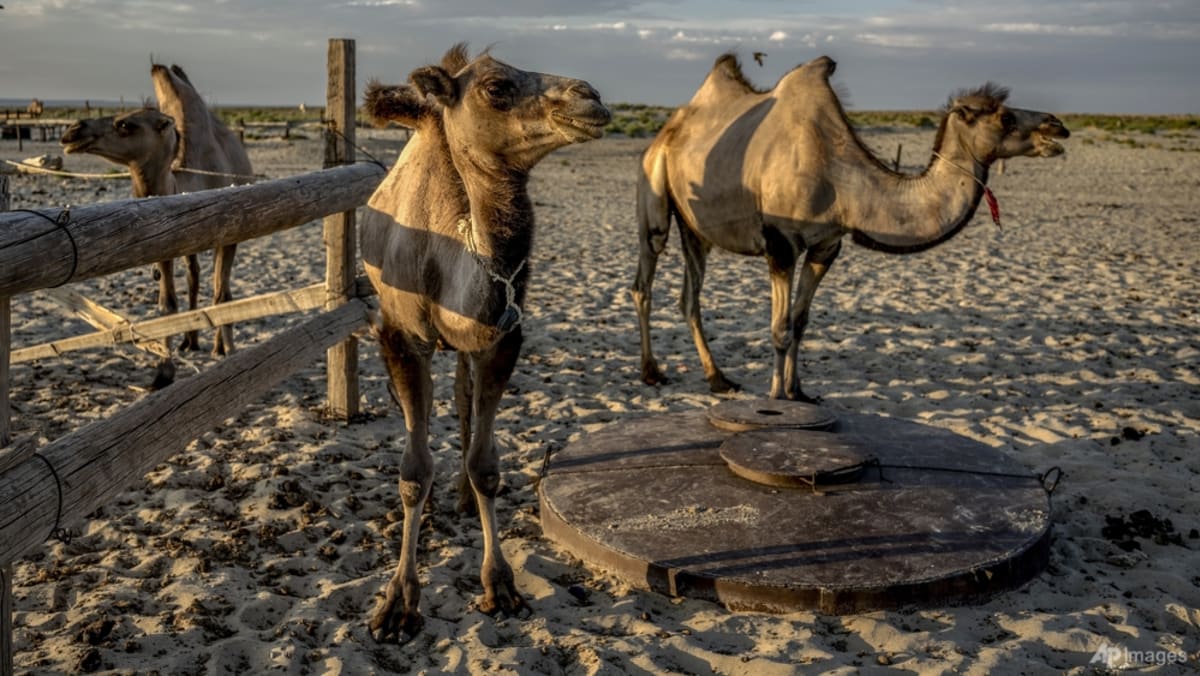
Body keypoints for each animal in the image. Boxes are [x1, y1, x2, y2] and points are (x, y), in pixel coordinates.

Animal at [152, 63, 255, 356]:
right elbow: (178, 292)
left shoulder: (230, 234)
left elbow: (221, 293)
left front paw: (223, 349)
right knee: (195, 277)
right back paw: (191, 341)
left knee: (221, 289)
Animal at [359, 44, 609, 642]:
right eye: (496, 86)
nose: (590, 97)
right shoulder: (401, 336)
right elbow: (412, 471)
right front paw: (398, 603)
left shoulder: (500, 337)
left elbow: (486, 466)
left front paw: (501, 585)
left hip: (468, 347)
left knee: (463, 402)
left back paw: (458, 497)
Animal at [632, 53, 1070, 401]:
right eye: (1005, 116)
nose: (1057, 126)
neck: (840, 179)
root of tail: (668, 129)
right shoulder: (781, 243)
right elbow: (779, 328)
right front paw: (775, 398)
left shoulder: (827, 245)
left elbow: (800, 322)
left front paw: (799, 392)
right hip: (655, 187)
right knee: (645, 275)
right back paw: (652, 372)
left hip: (697, 229)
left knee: (690, 296)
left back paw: (718, 379)